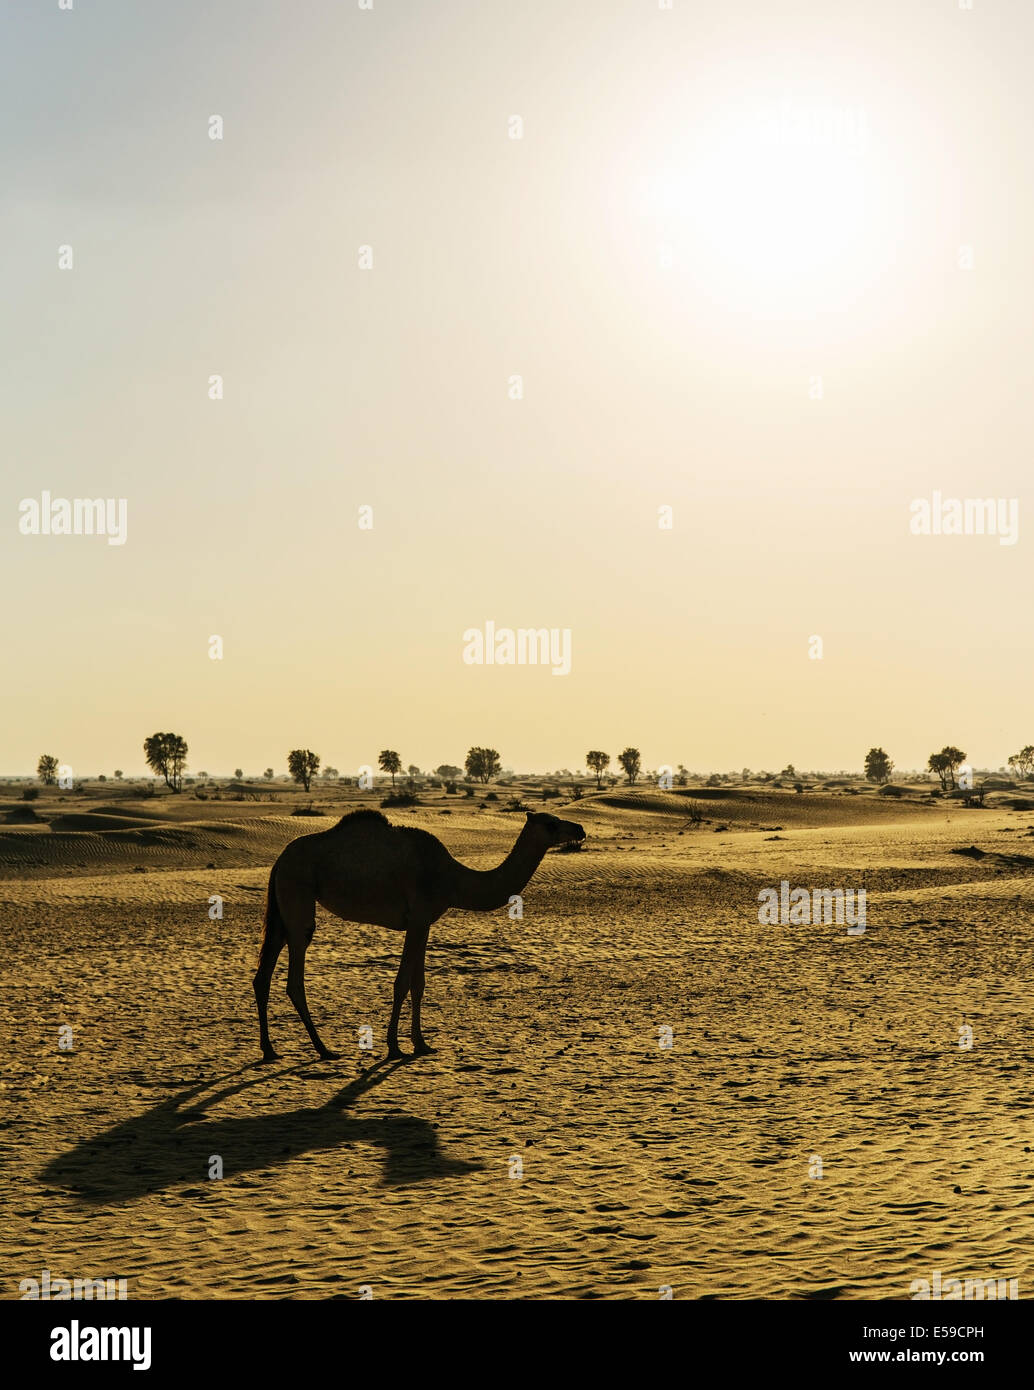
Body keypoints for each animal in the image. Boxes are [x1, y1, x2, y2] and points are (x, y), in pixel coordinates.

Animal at [253, 808, 585, 1062]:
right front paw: (394, 1046)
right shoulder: (417, 919)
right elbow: (401, 983)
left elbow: (419, 984)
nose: (580, 829)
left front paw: (421, 1043)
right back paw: (324, 1050)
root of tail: (279, 861)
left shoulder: (425, 922)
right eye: (551, 823)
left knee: (263, 974)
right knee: (295, 976)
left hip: (283, 907)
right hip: (298, 894)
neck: (453, 879)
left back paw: (269, 1050)